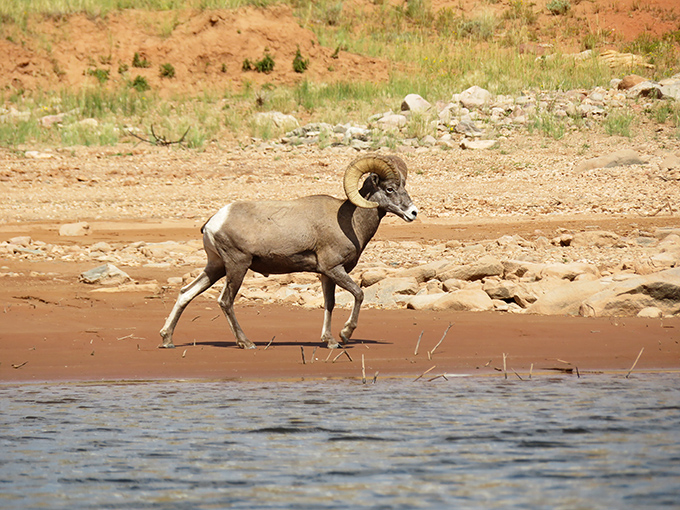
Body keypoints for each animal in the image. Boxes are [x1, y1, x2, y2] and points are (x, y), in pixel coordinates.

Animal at [159, 154, 418, 350]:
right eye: (390, 189)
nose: (413, 213)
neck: (350, 221)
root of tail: (214, 222)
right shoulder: (334, 269)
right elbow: (358, 294)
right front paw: (345, 334)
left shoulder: (326, 275)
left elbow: (330, 304)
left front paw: (330, 341)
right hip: (237, 265)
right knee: (225, 301)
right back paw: (246, 343)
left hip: (216, 267)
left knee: (186, 293)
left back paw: (167, 339)